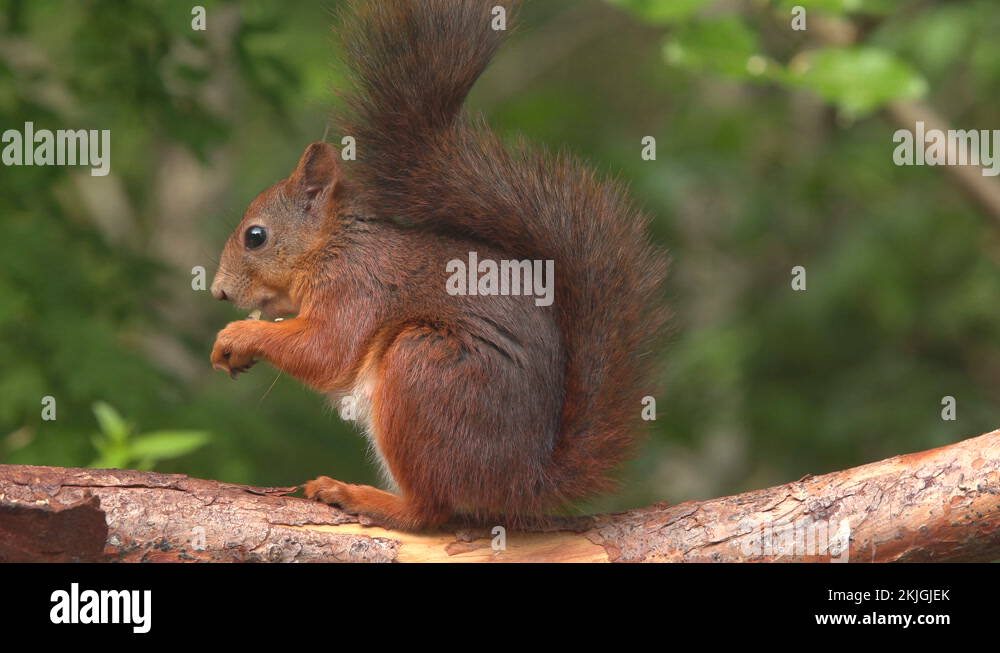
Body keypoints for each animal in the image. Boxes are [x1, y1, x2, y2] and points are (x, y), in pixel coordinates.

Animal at [209, 0, 667, 531]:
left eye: (255, 237)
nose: (218, 291)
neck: (333, 247)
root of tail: (526, 483)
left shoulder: (358, 287)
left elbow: (327, 350)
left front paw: (238, 335)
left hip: (425, 368)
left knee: (430, 509)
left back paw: (363, 497)